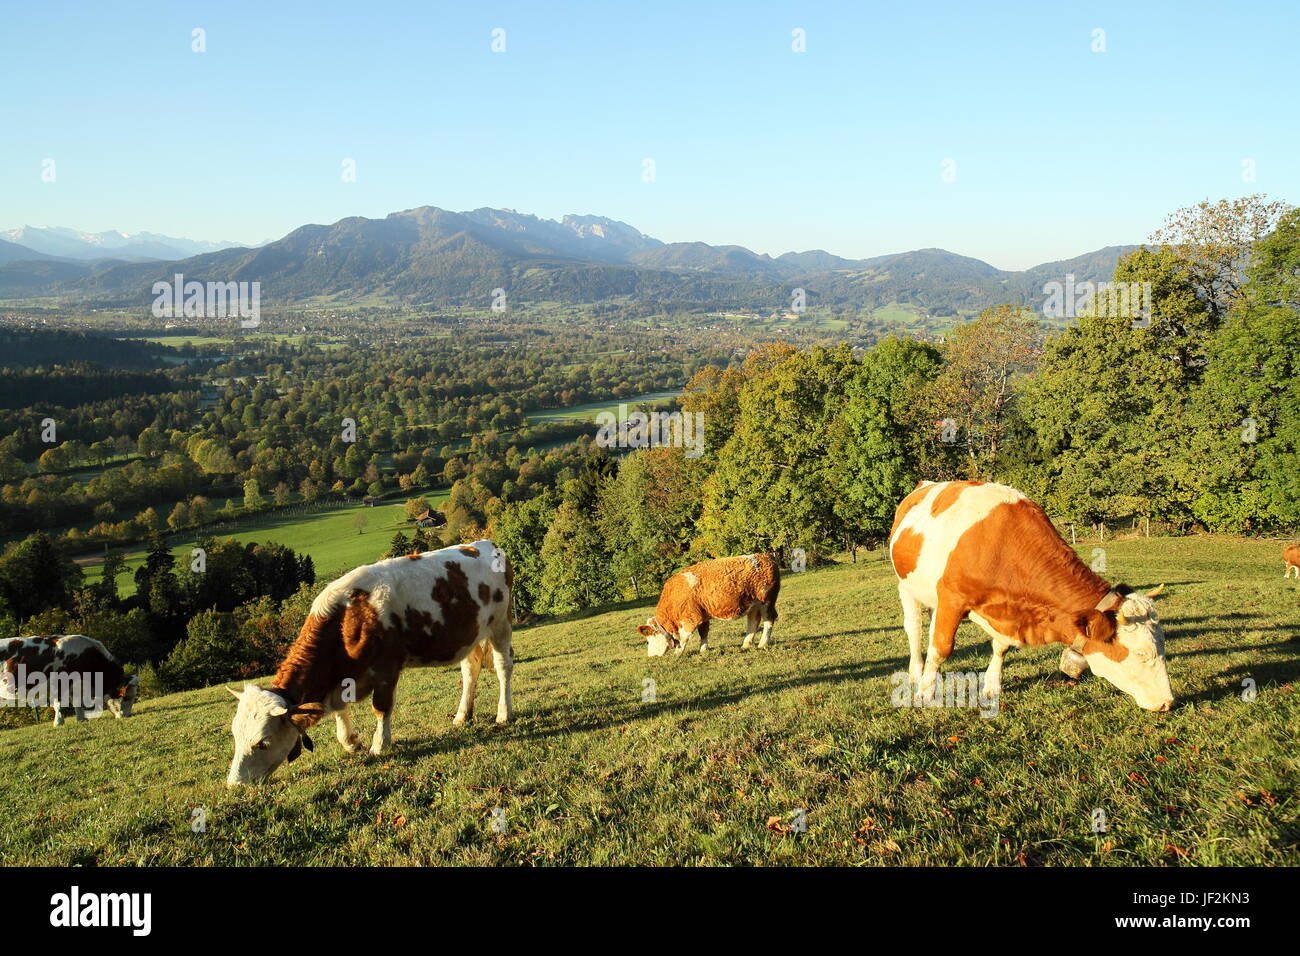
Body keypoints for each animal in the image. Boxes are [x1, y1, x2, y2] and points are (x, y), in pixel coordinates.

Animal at [0, 635, 139, 725]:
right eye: (126, 697)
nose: (127, 716)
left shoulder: (75, 686)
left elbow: (77, 702)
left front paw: (81, 719)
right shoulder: (60, 682)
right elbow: (58, 703)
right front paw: (58, 722)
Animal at [226, 540, 513, 786]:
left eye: (263, 742)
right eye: (235, 735)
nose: (234, 784)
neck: (347, 620)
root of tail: (484, 544)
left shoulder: (387, 668)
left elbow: (381, 708)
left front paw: (380, 745)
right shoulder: (339, 679)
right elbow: (339, 710)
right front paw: (351, 742)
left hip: (501, 623)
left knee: (503, 667)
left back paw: (504, 713)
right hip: (469, 635)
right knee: (470, 669)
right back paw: (462, 716)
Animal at [638, 553, 780, 656]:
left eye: (648, 640)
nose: (651, 655)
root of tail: (766, 556)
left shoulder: (691, 618)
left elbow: (684, 638)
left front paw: (678, 653)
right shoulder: (703, 615)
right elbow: (703, 633)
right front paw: (703, 650)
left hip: (766, 602)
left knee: (768, 621)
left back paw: (762, 644)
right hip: (753, 605)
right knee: (753, 622)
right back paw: (746, 645)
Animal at [889, 480, 1174, 712]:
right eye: (1141, 654)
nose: (1168, 702)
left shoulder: (1004, 613)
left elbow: (1001, 646)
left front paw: (991, 687)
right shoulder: (952, 599)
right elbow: (941, 648)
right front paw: (925, 694)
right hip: (906, 586)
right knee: (914, 629)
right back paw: (916, 673)